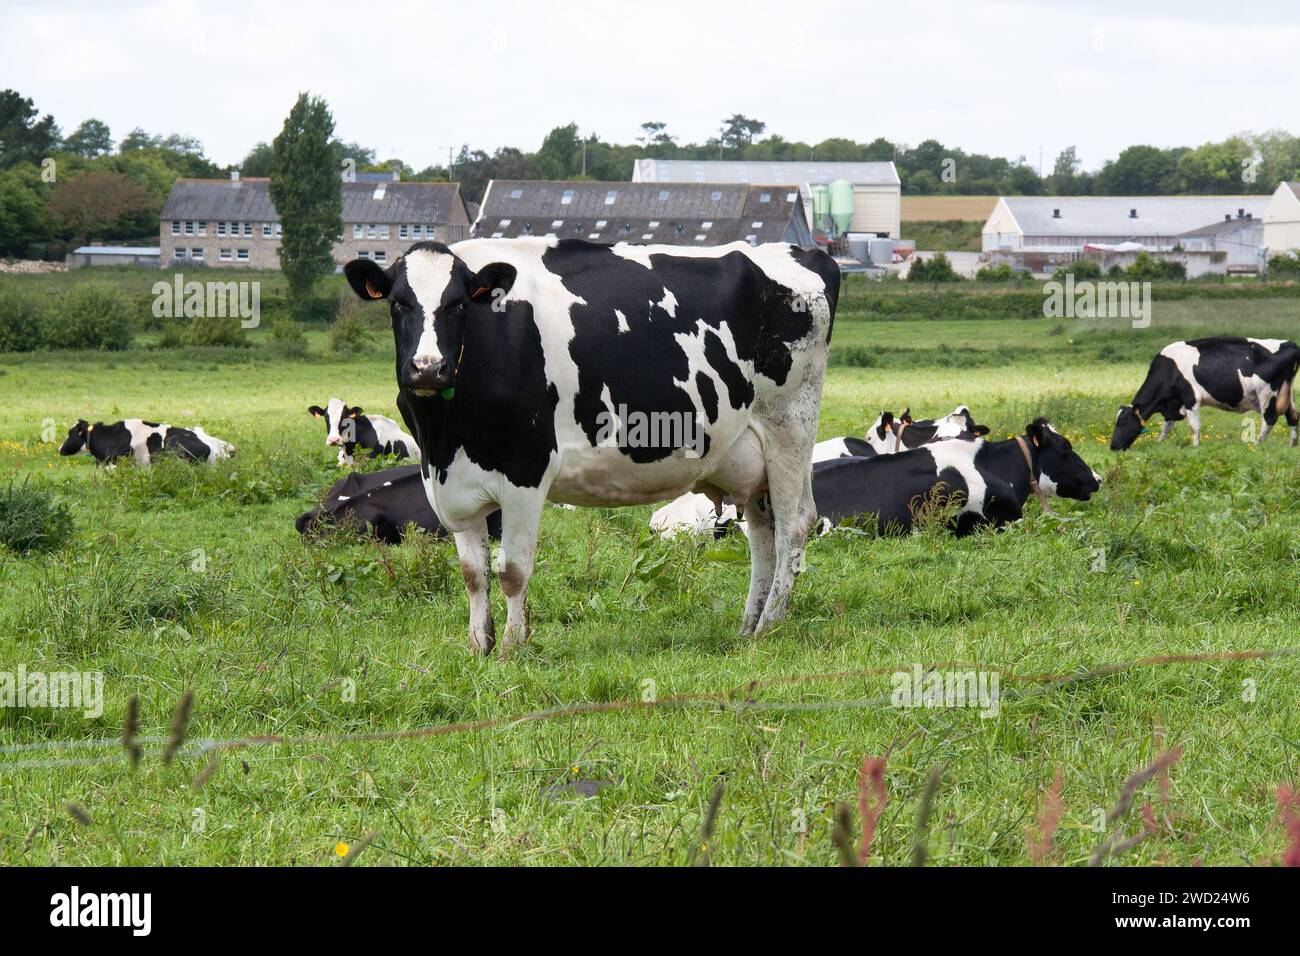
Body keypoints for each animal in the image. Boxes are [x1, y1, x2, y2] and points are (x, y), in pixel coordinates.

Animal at [343, 237, 838, 656]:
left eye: (457, 304)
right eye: (397, 303)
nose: (428, 368)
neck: (445, 434)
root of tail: (806, 253)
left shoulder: (526, 470)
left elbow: (512, 571)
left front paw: (511, 648)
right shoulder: (449, 479)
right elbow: (473, 574)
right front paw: (478, 646)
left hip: (789, 430)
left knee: (794, 526)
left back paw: (770, 626)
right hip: (747, 455)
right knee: (762, 536)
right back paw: (748, 627)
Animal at [1111, 337, 1300, 450]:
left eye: (1123, 422)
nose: (1113, 446)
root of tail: (1289, 344)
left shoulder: (1191, 397)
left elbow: (1194, 426)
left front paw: (1195, 447)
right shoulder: (1174, 403)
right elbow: (1166, 426)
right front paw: (1160, 443)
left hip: (1267, 393)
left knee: (1269, 419)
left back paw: (1258, 444)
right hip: (1288, 394)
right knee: (1293, 416)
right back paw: (1292, 445)